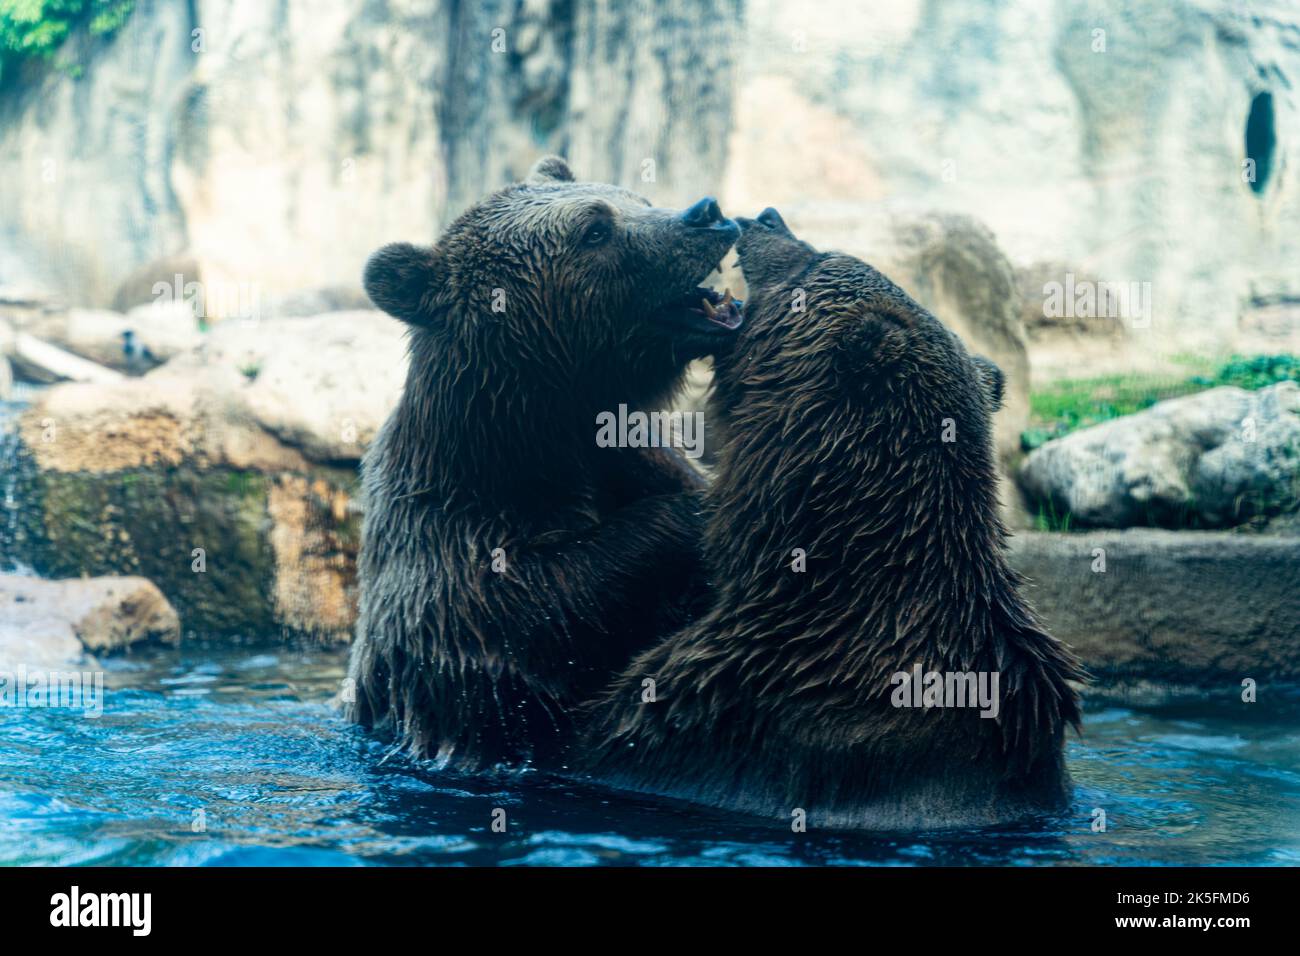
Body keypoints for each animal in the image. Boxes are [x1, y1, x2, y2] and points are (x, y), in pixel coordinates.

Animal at [345, 156, 743, 770]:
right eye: (595, 230)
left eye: (635, 199)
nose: (706, 212)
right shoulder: (456, 577)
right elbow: (541, 607)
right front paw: (694, 519)